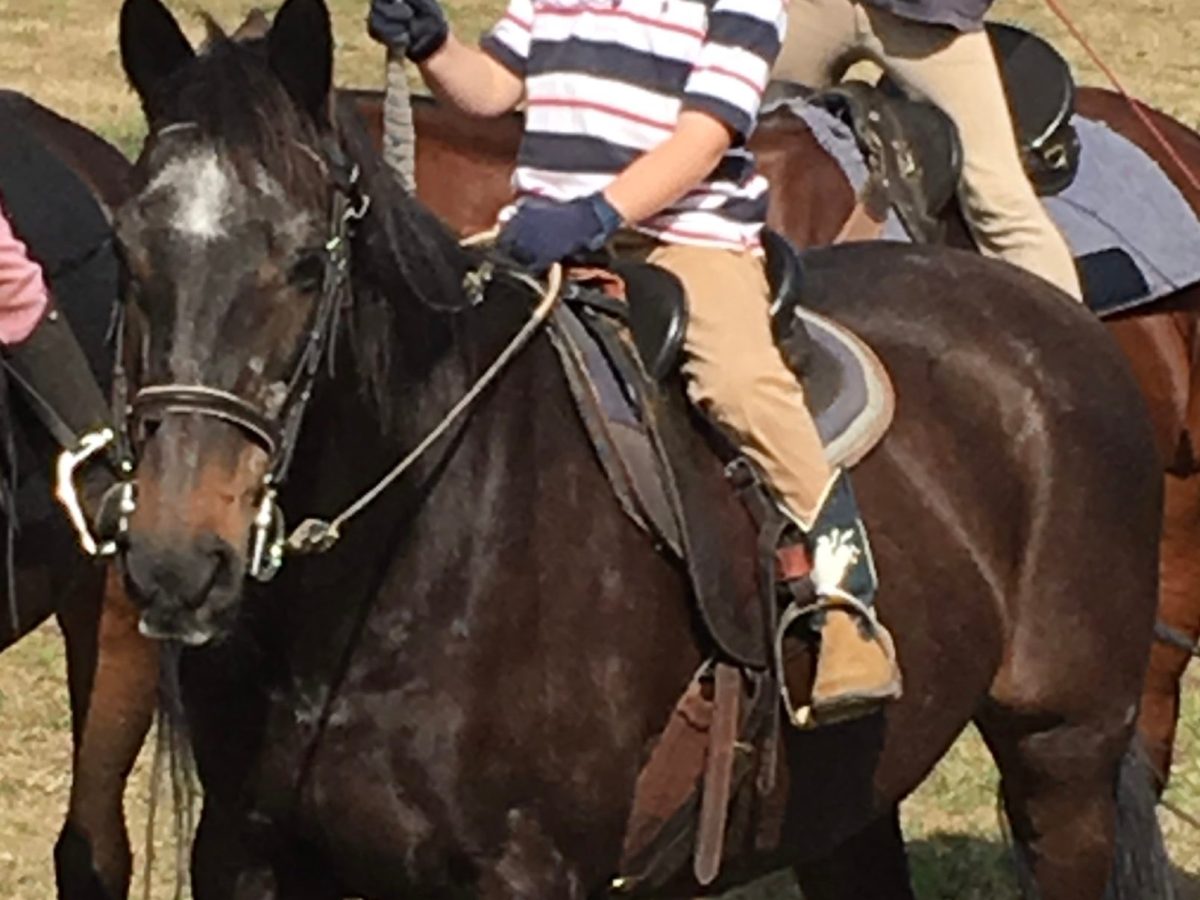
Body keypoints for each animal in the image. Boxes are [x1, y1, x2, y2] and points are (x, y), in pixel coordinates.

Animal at [111, 0, 1172, 897]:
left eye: (303, 261)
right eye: (127, 250)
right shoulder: (245, 852)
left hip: (1063, 758)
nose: (177, 560)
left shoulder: (530, 869)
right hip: (849, 797)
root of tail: (1055, 315)